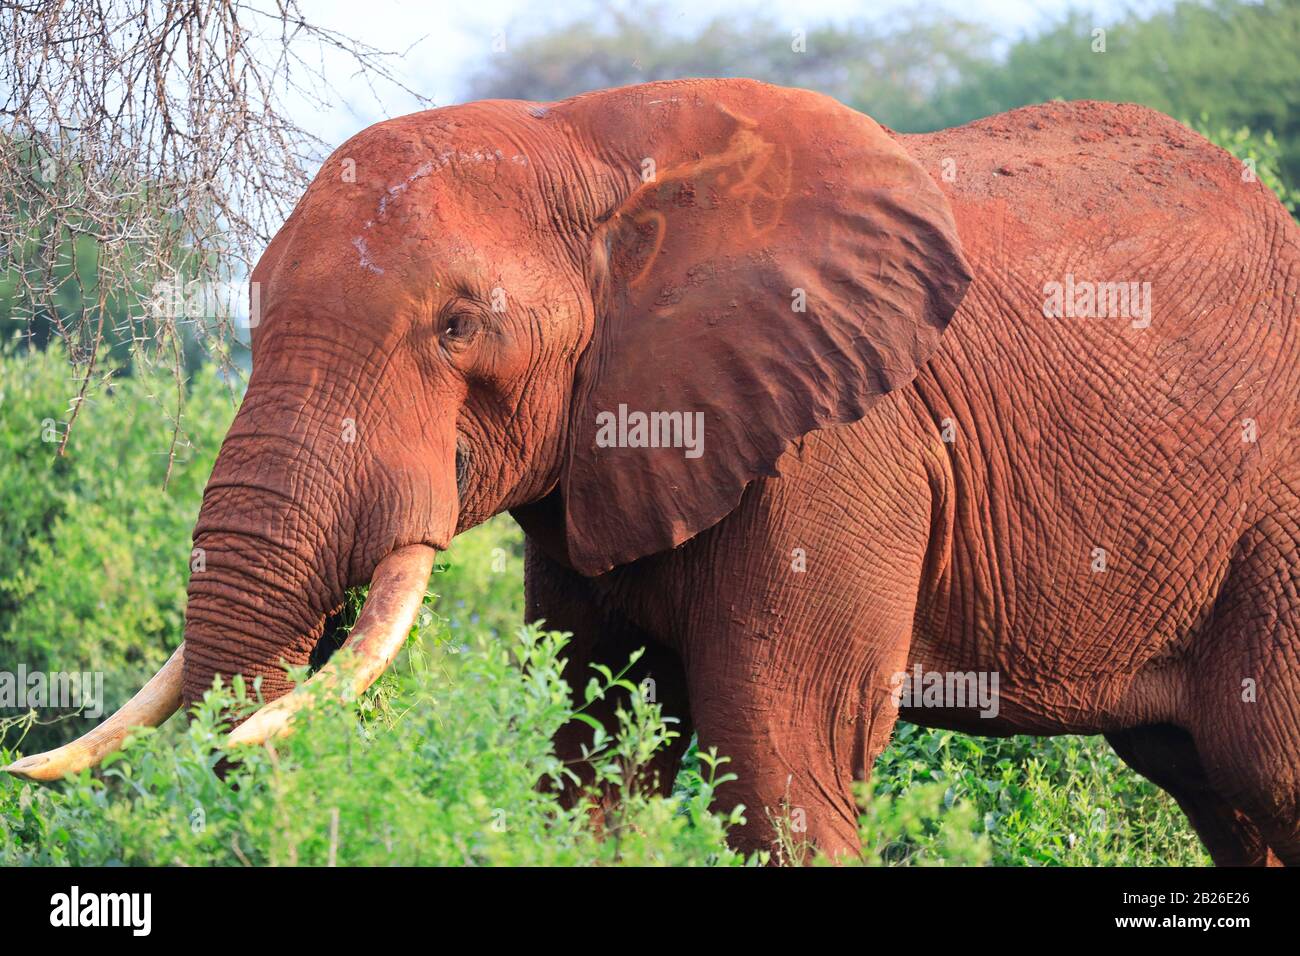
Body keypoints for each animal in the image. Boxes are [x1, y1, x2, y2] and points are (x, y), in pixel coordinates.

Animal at [8, 78, 1300, 865]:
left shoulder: (835, 448)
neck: (587, 146)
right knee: (1219, 788)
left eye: (458, 328)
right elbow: (591, 762)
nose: (235, 760)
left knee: (1260, 759)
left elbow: (778, 768)